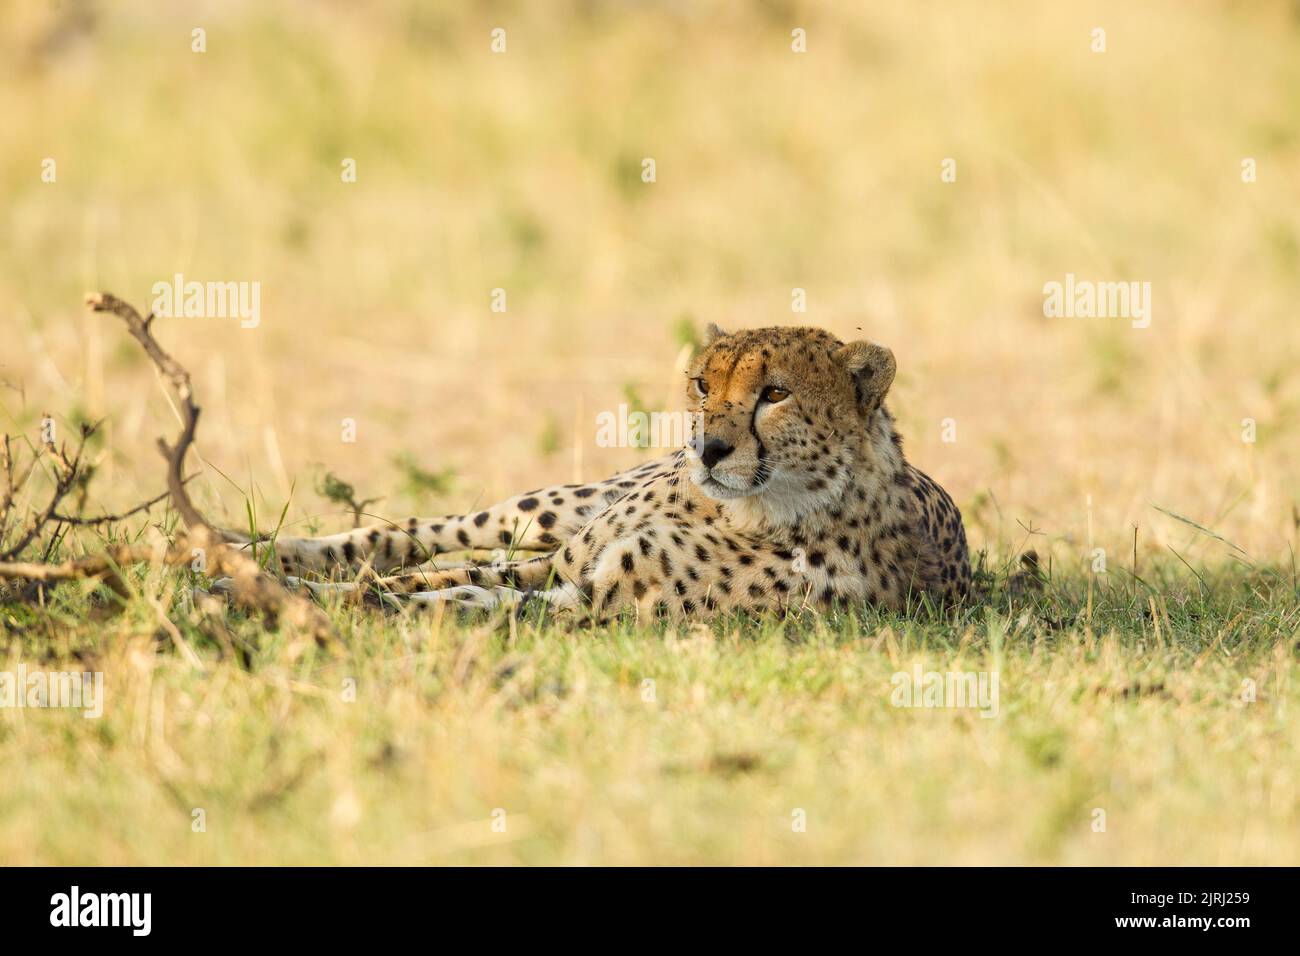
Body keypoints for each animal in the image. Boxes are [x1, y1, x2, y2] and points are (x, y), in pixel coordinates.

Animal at [245, 324, 972, 618]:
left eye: (776, 394)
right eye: (703, 384)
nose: (707, 449)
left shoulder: (591, 596)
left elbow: (455, 595)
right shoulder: (566, 564)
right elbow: (435, 574)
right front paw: (265, 582)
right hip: (554, 510)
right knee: (426, 532)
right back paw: (254, 549)